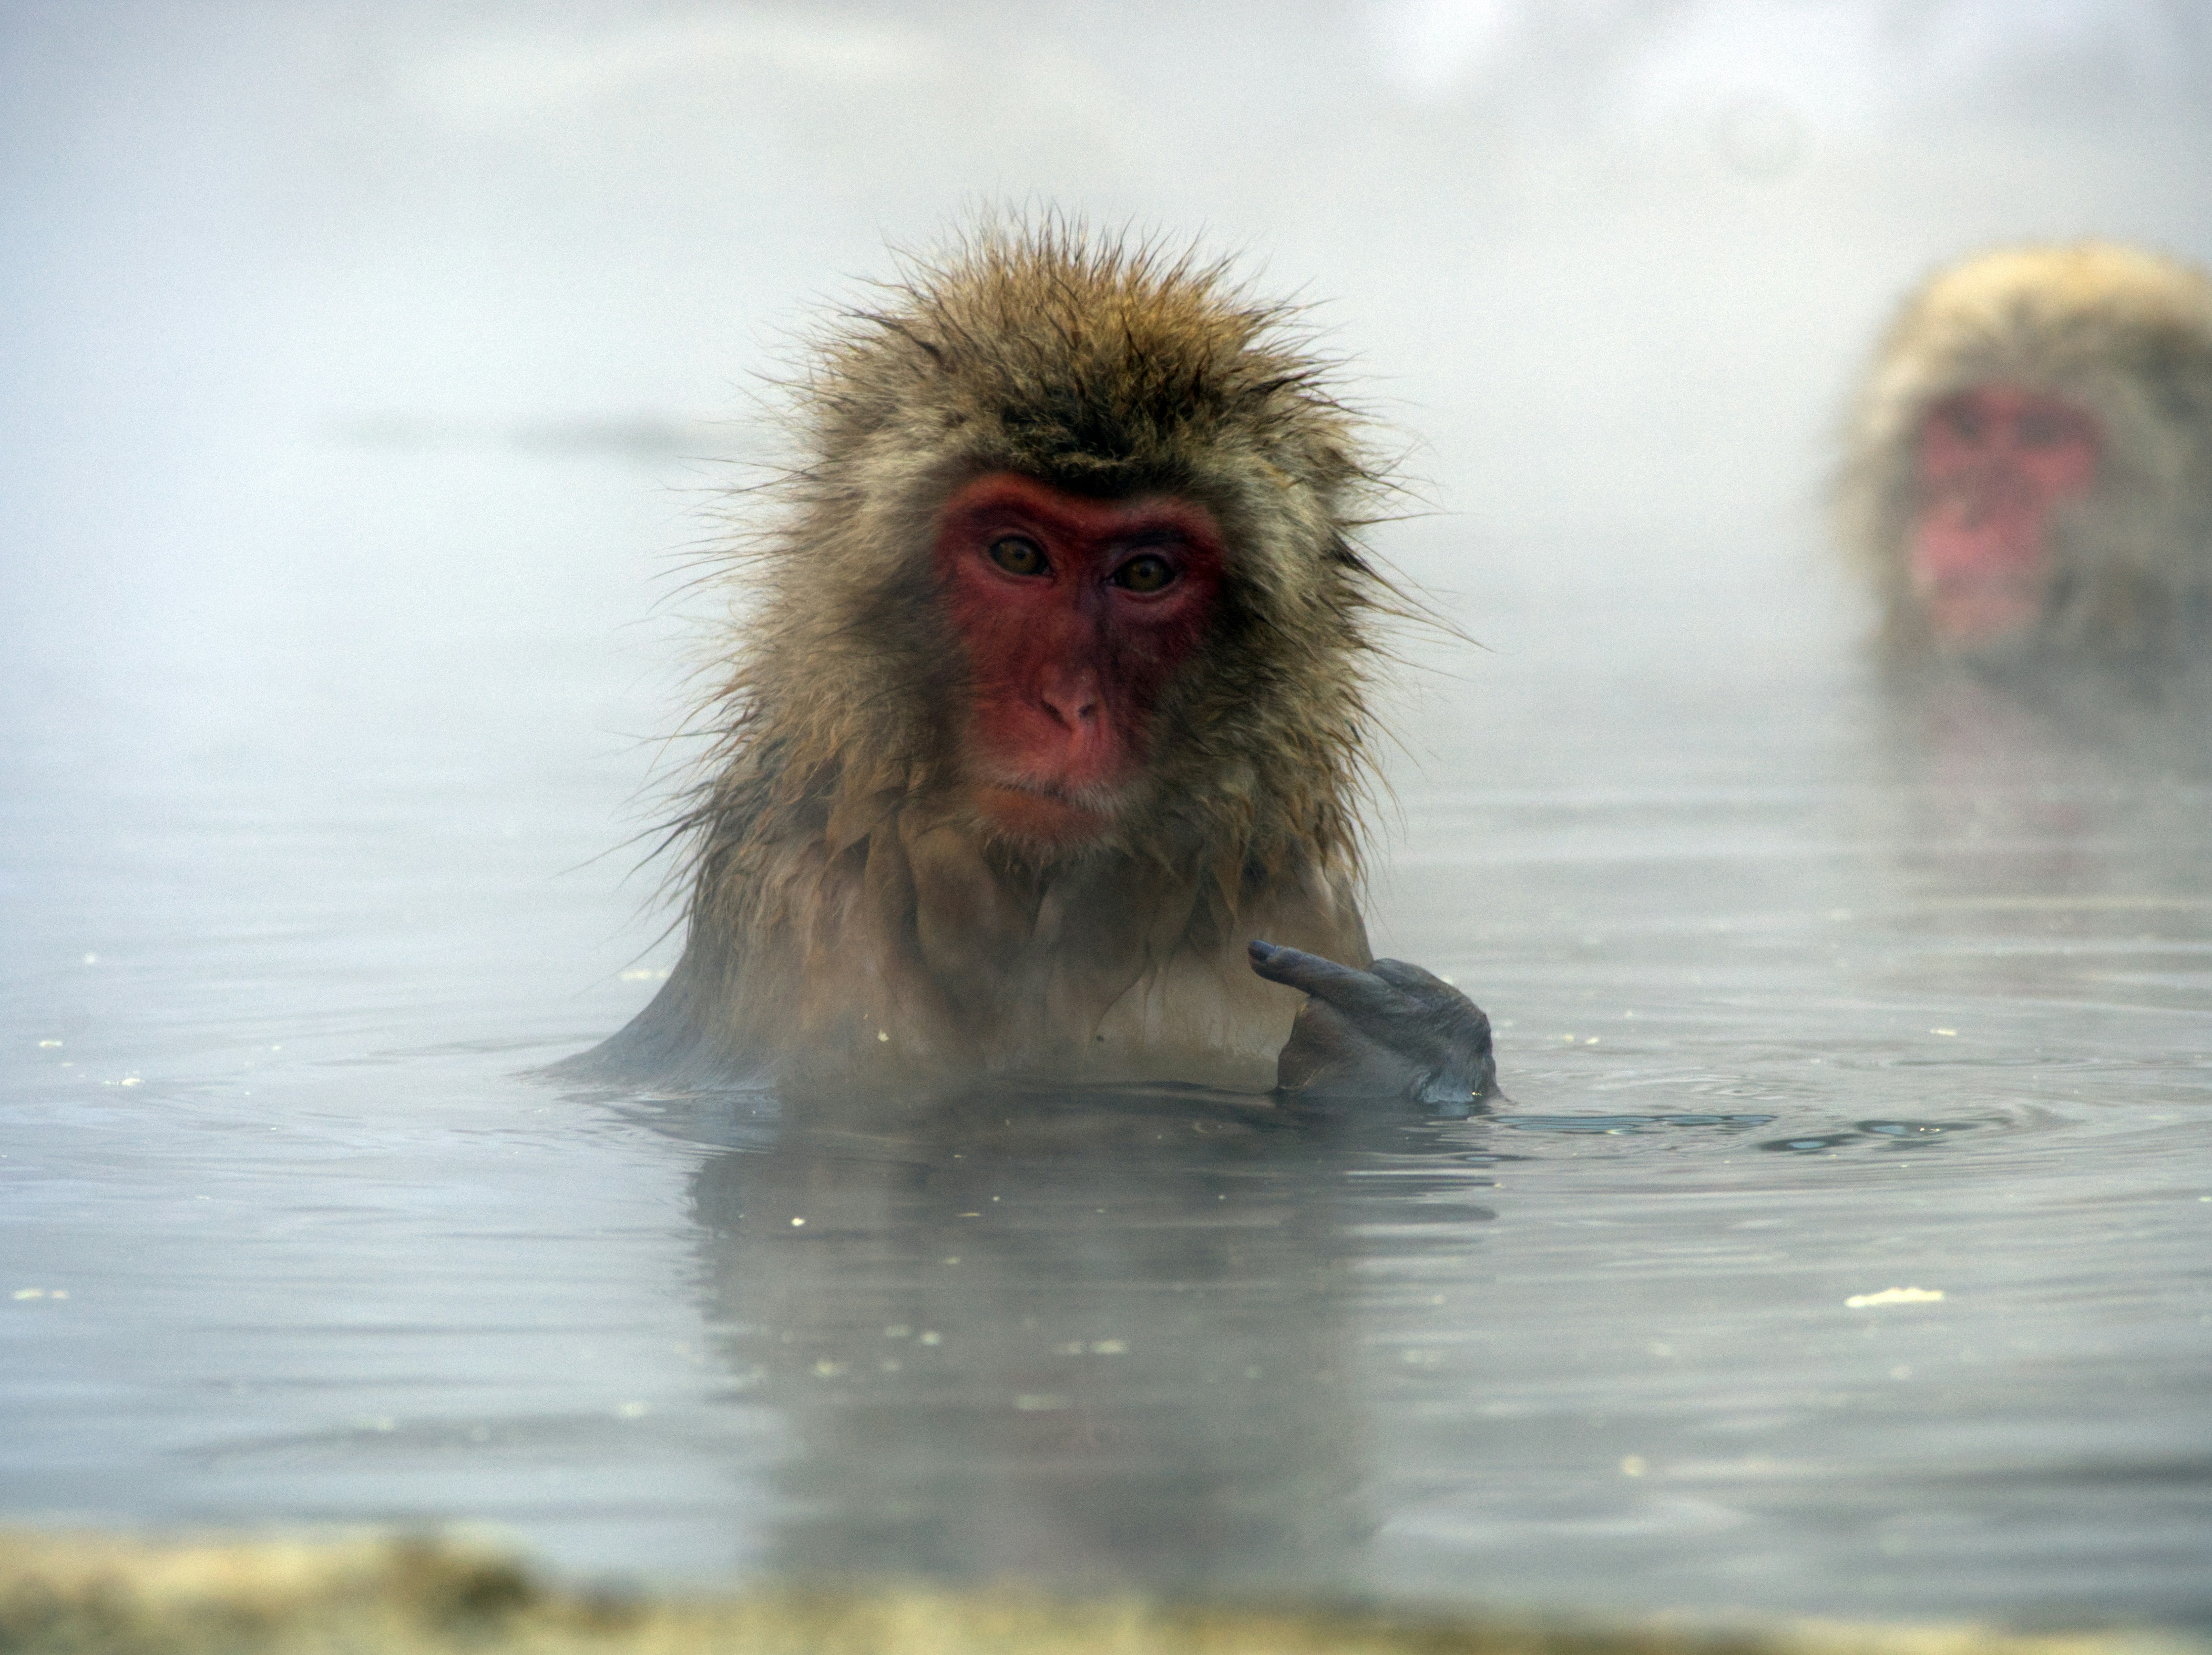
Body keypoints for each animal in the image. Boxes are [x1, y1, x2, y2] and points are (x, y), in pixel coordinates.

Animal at [568, 223, 1497, 1109]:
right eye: (1018, 554)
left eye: (1146, 573)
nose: (1068, 705)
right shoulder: (811, 925)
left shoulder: (1300, 910)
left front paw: (1402, 1047)